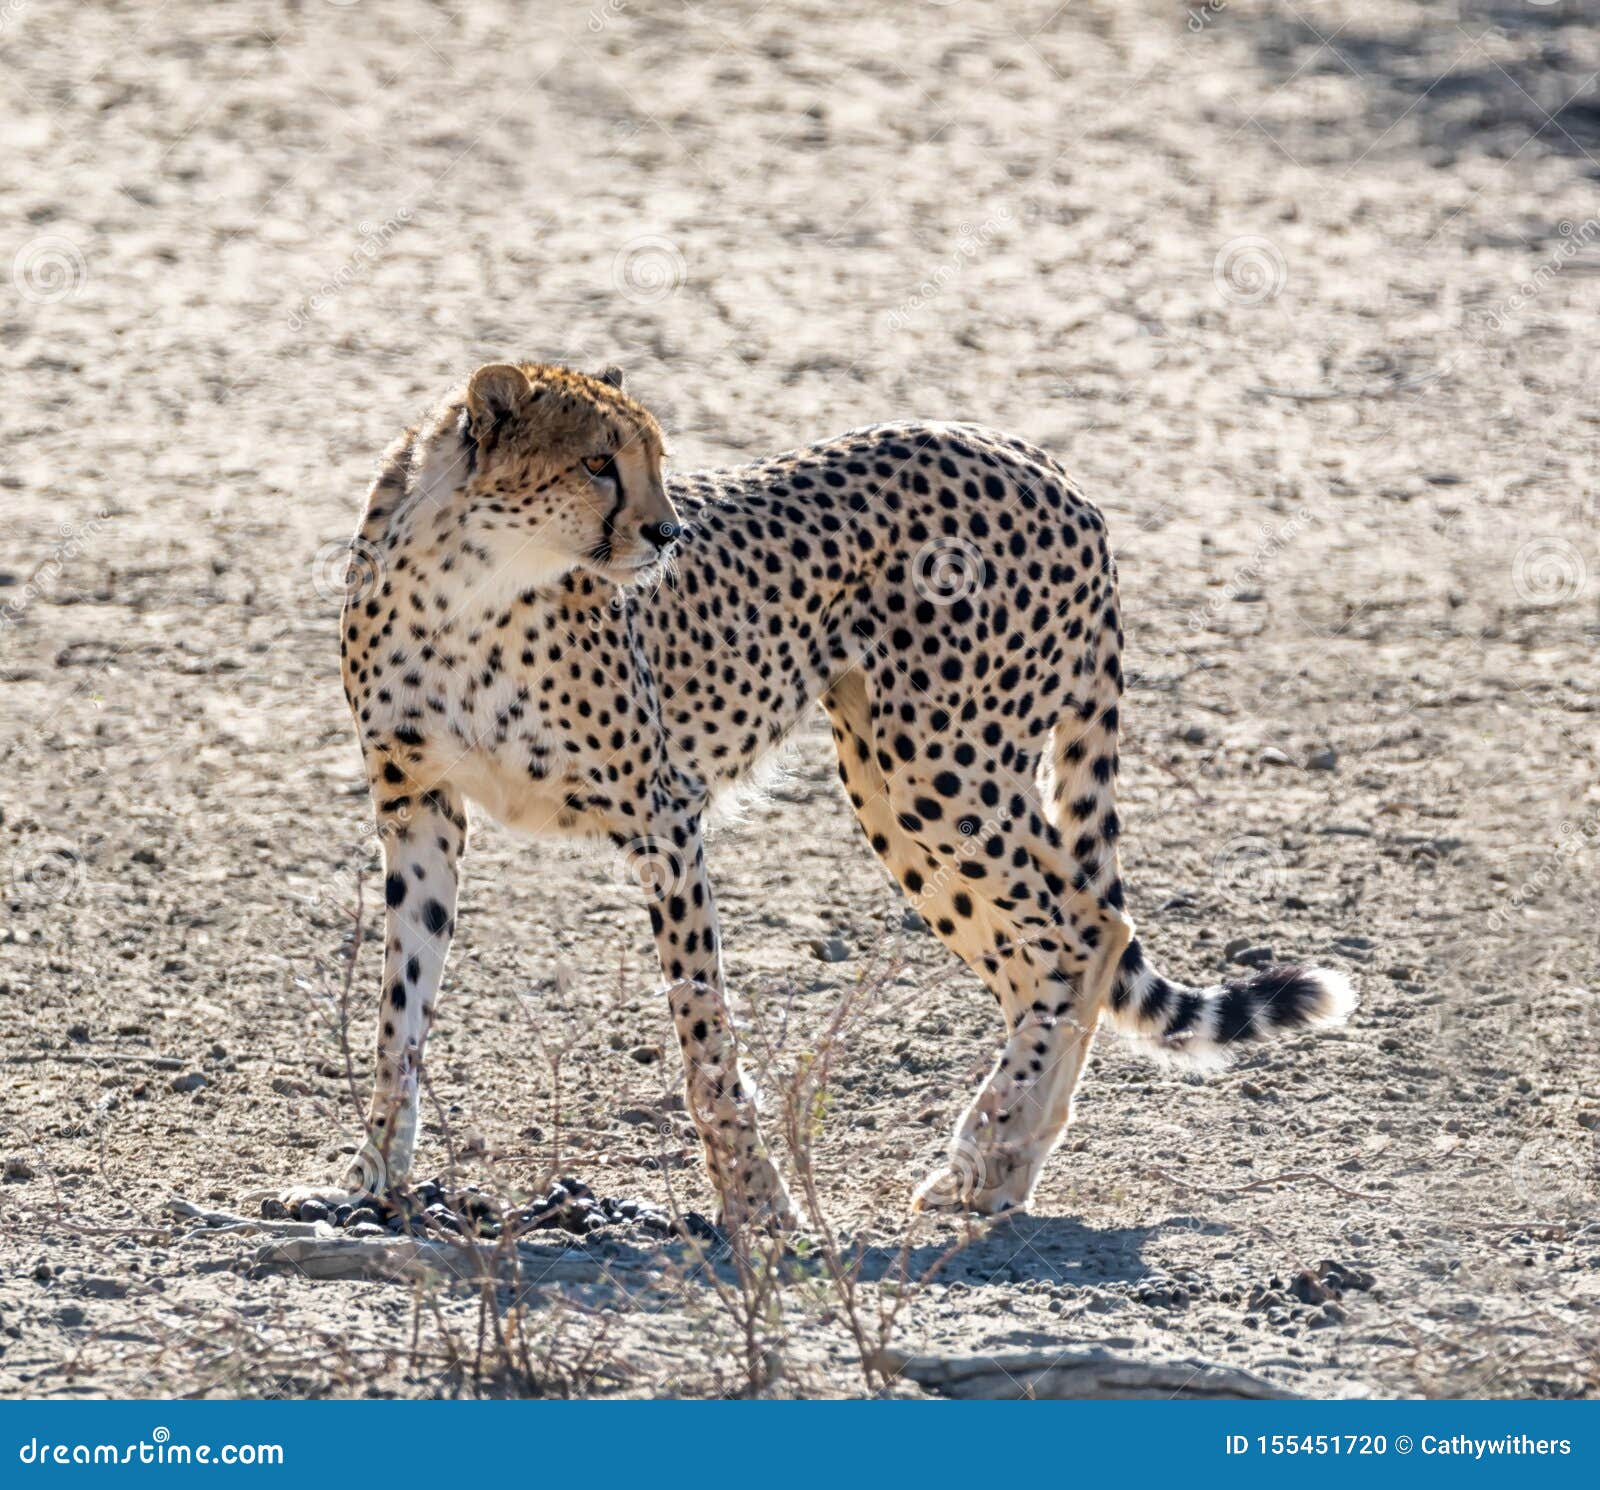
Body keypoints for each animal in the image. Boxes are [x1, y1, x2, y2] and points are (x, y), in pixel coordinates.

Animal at [295, 359, 1355, 1228]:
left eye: (656, 459)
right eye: (597, 461)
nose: (668, 531)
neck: (464, 583)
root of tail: (1041, 461)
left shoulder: (663, 818)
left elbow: (705, 1041)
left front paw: (758, 1203)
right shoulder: (418, 812)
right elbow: (400, 1010)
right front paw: (372, 1180)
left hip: (941, 766)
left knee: (1087, 930)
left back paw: (987, 1149)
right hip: (895, 786)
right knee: (1046, 953)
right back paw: (997, 1169)